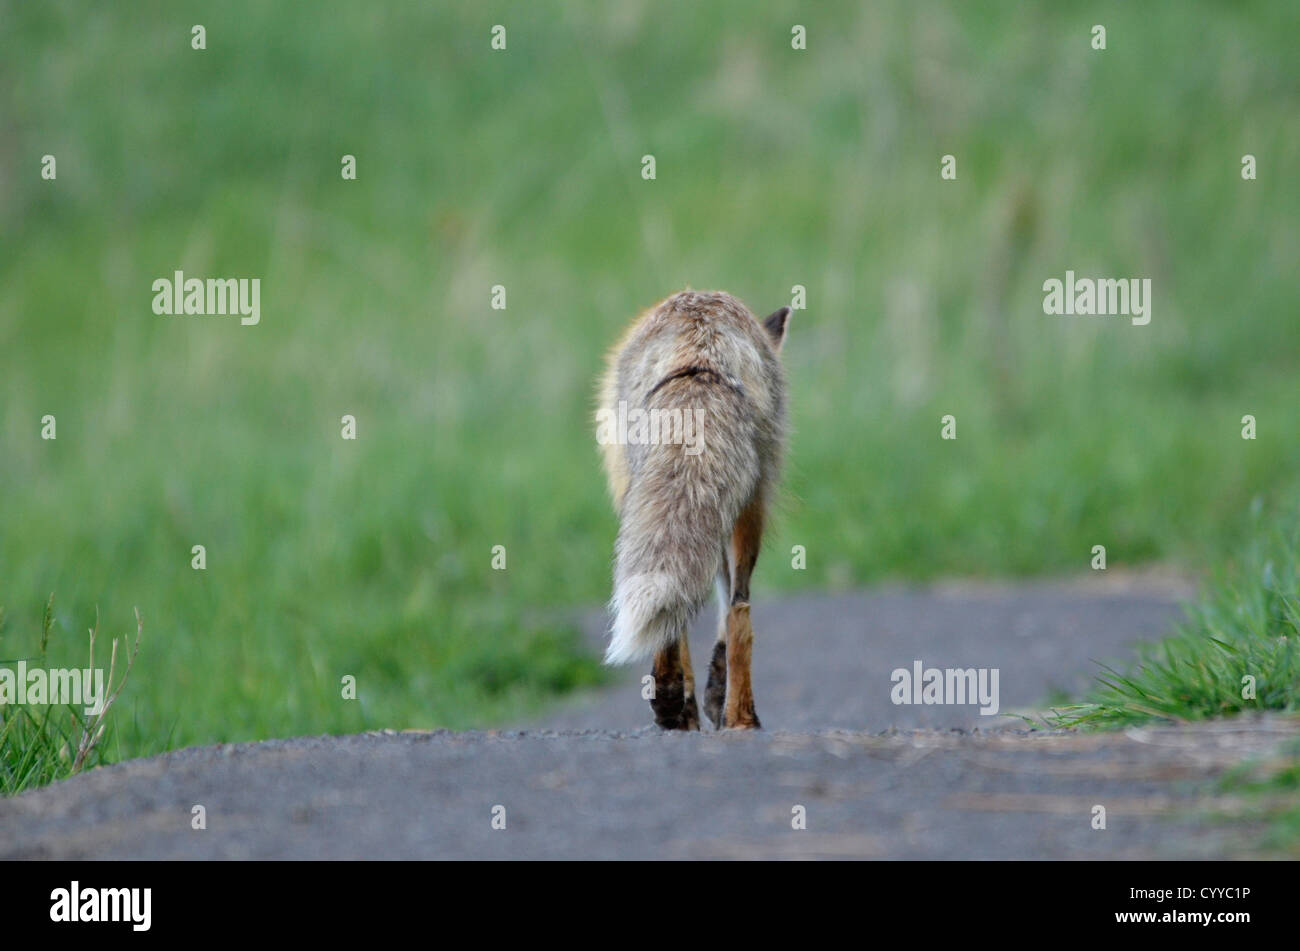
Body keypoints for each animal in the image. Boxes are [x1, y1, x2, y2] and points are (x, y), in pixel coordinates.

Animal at [595, 290, 791, 730]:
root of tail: (701, 341)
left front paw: (691, 700)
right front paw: (711, 694)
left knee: (726, 611)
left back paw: (684, 707)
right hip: (745, 506)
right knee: (736, 609)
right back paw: (737, 718)